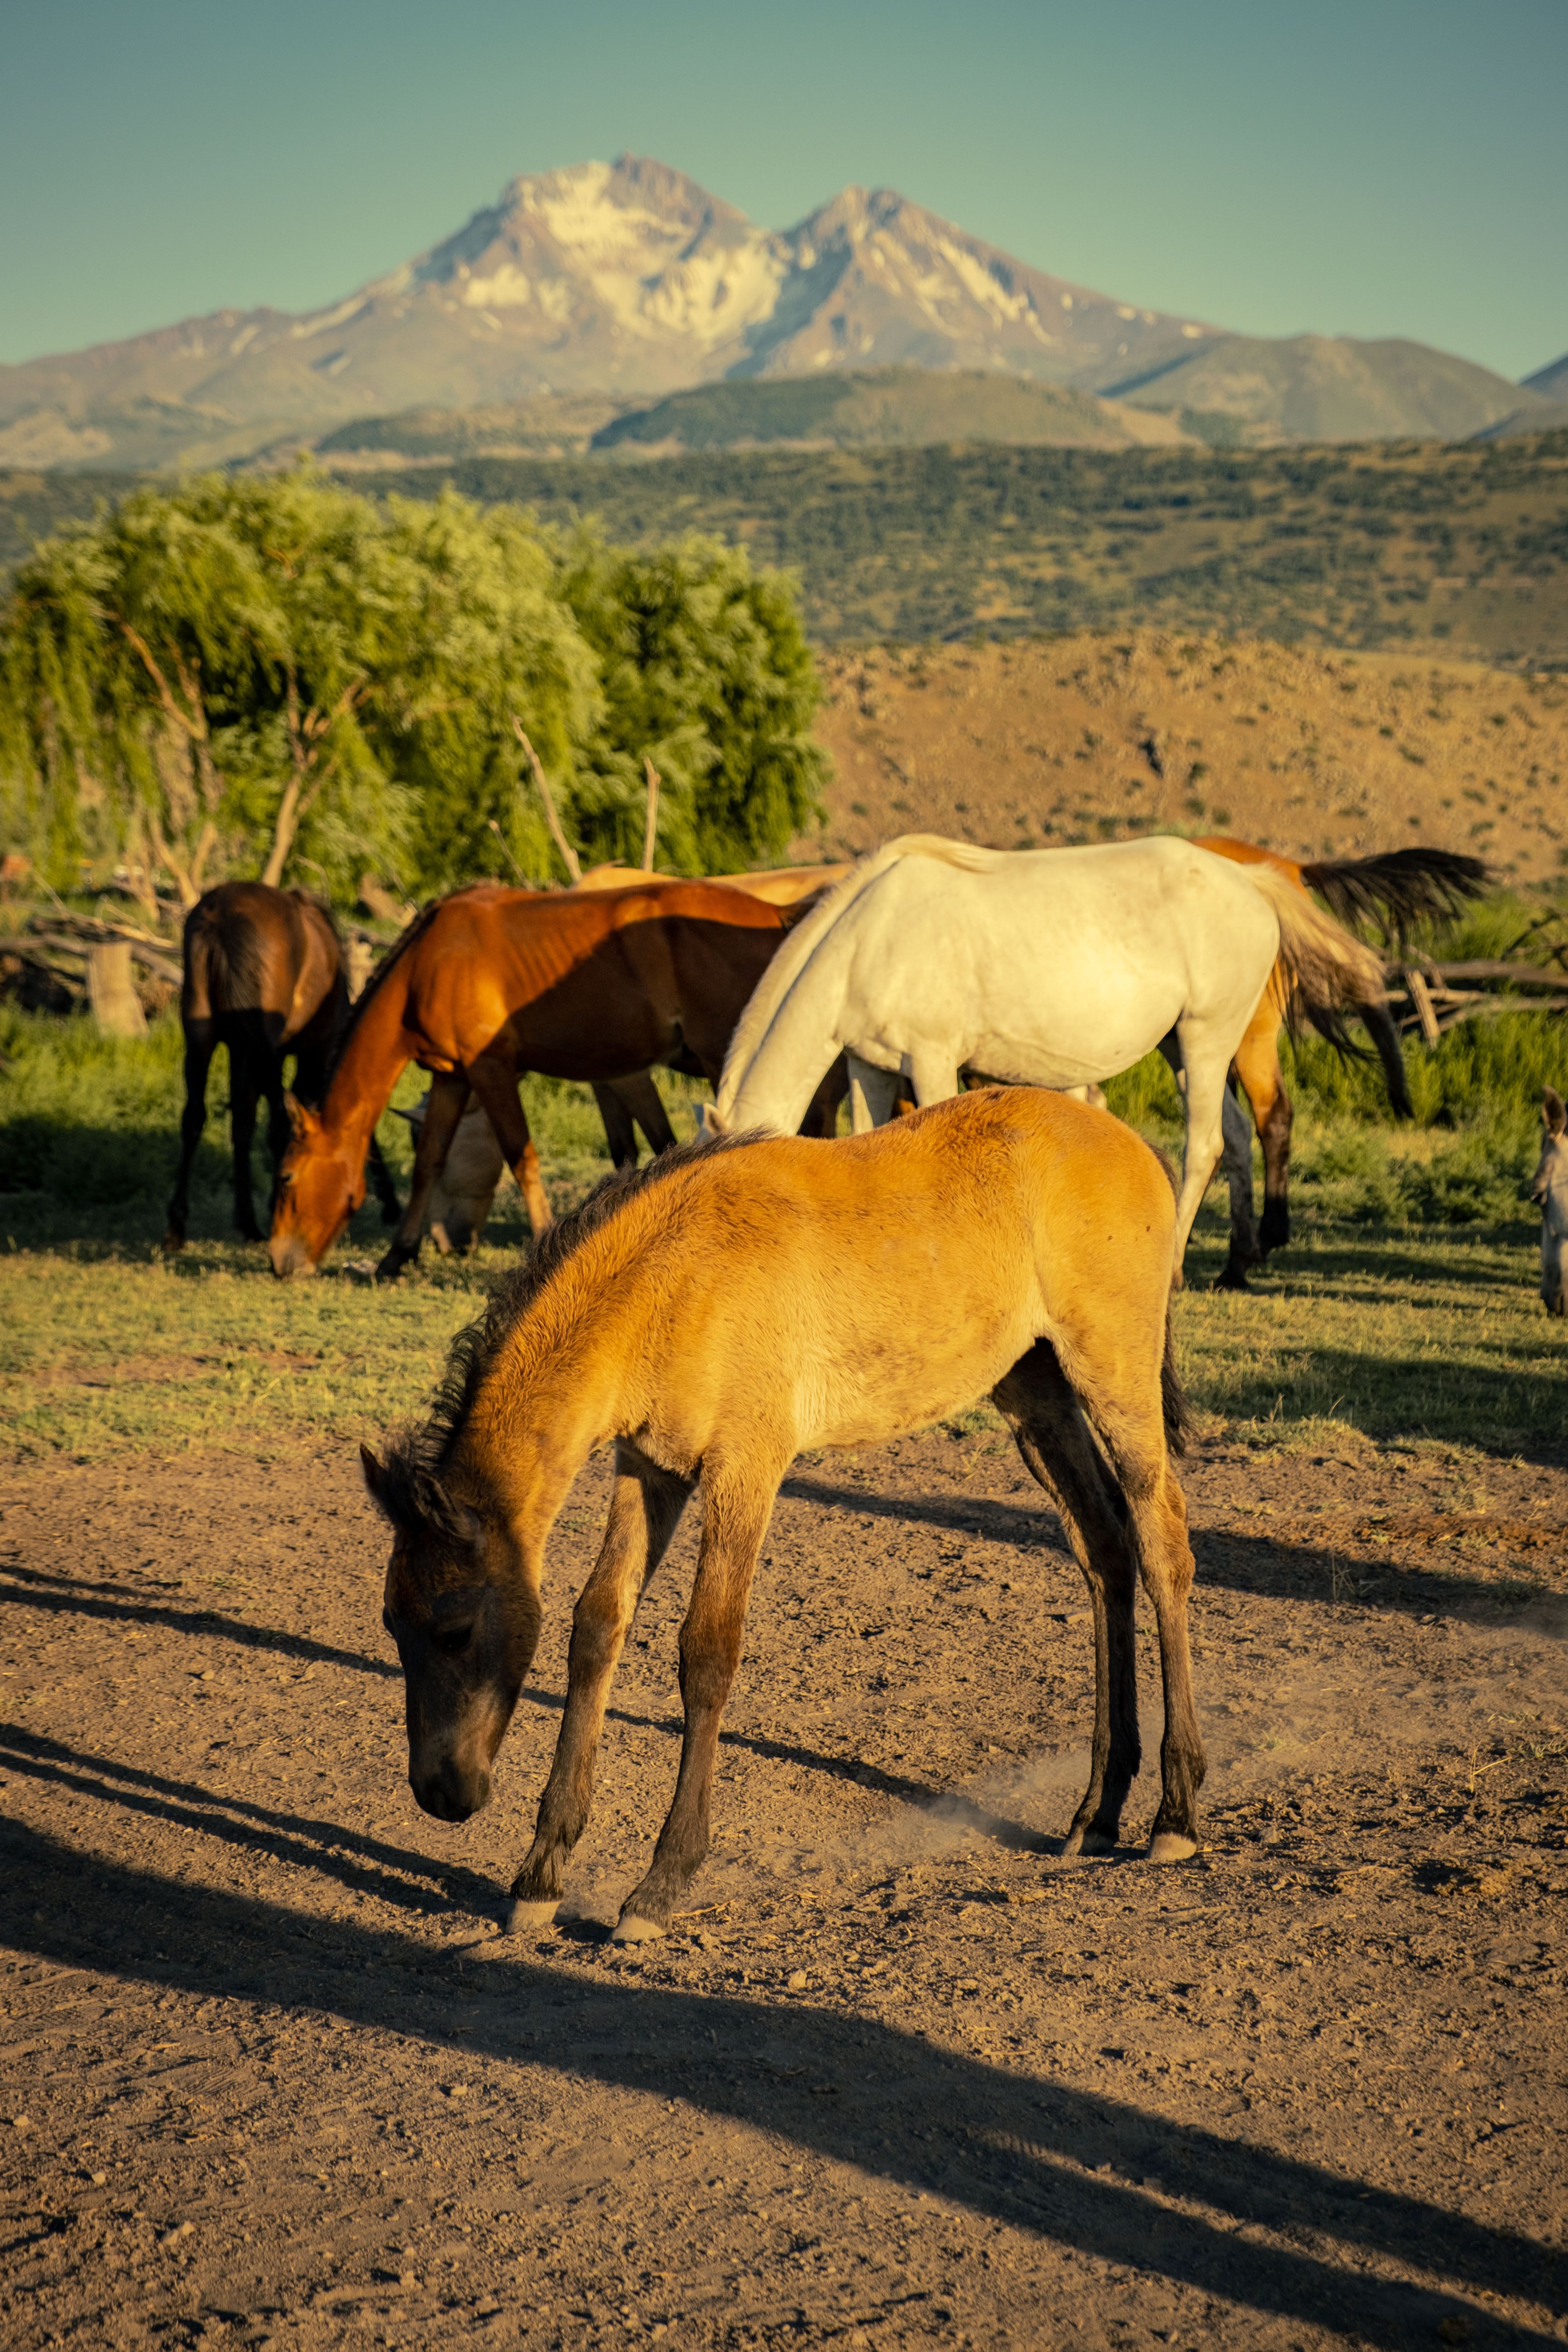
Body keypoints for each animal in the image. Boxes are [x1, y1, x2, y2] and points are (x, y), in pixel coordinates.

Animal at [163, 881, 400, 1253]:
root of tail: (222, 917)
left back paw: (179, 1227)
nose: (390, 1207)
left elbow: (243, 1122)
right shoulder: (312, 1051)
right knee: (275, 1120)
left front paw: (247, 1218)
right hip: (264, 1045)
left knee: (194, 1118)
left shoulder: (243, 1049)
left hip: (202, 1034)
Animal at [268, 879, 808, 1282]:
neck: (429, 962)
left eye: (286, 1176)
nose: (278, 1261)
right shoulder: (452, 1077)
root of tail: (772, 916)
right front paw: (397, 1254)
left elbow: (521, 1156)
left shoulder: (491, 1069)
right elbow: (429, 1161)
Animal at [359, 1089, 1202, 1942]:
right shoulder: (649, 1467)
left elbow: (707, 1649)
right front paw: (540, 1874)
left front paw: (659, 1886)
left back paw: (1175, 1814)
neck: (673, 1277)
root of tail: (1131, 1143)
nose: (442, 1792)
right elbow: (597, 1624)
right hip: (1033, 1387)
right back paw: (1098, 1811)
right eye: (393, 1624)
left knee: (1161, 1540)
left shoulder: (746, 1468)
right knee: (1104, 1547)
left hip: (1114, 1373)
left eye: (456, 1628)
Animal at [708, 833, 1387, 1277]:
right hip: (1184, 1048)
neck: (867, 938)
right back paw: (1234, 1265)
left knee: (1205, 1146)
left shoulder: (930, 1060)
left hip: (1207, 1038)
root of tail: (1251, 881)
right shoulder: (867, 1067)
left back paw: (1174, 1267)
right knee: (1239, 1135)